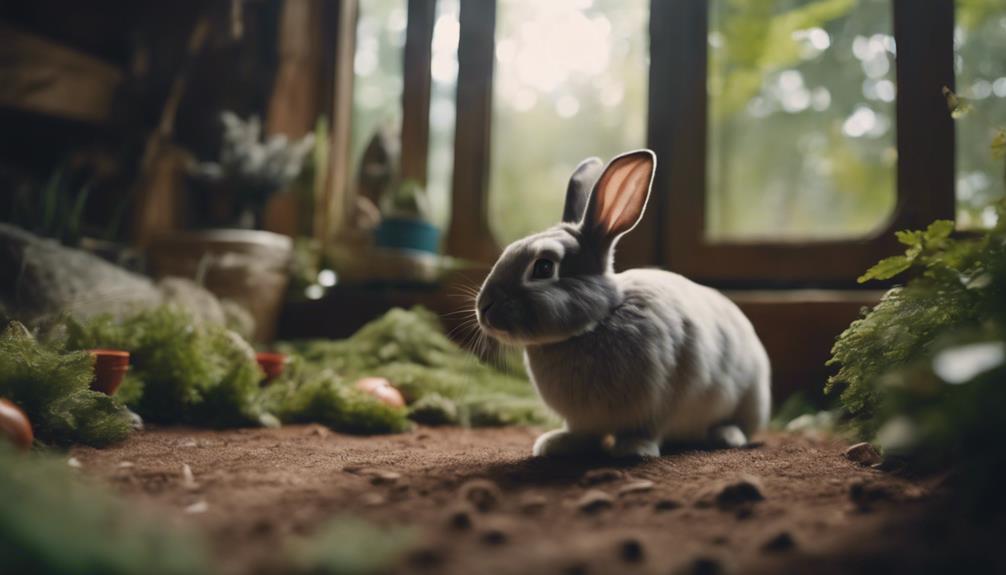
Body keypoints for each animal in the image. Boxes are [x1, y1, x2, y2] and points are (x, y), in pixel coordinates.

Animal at [475, 149, 771, 458]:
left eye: (543, 267)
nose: (483, 308)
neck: (596, 322)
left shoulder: (658, 402)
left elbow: (645, 429)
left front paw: (634, 450)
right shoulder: (582, 419)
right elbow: (583, 433)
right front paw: (556, 444)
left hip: (748, 399)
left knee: (739, 425)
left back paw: (726, 436)